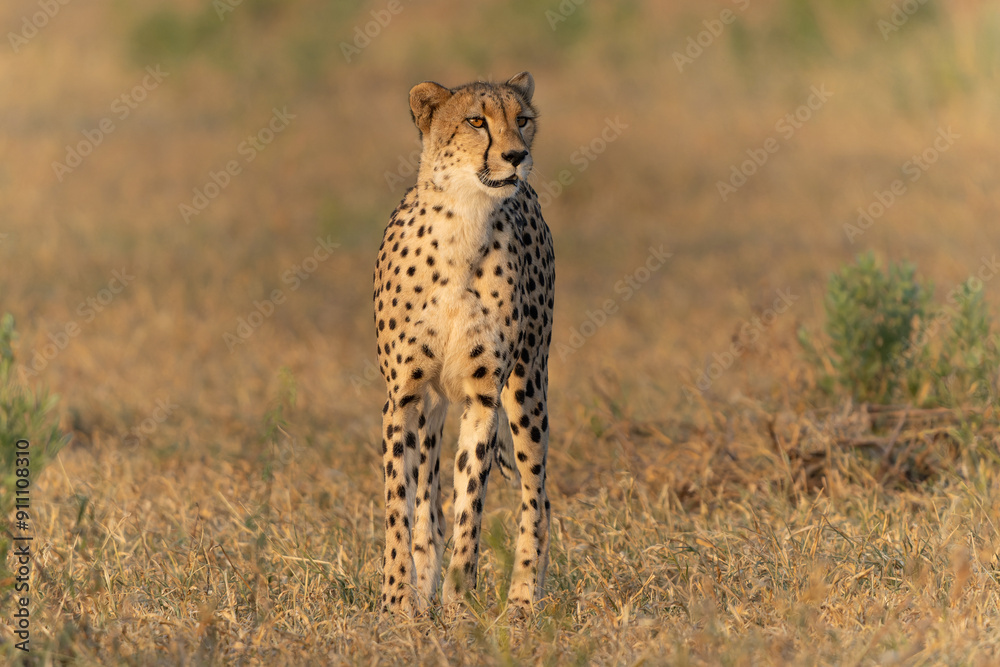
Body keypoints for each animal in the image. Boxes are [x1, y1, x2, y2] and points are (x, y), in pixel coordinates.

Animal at [373, 71, 555, 615]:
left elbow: (470, 502)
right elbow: (400, 506)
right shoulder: (404, 397)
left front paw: (458, 602)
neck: (463, 222)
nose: (517, 156)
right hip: (434, 407)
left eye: (523, 119)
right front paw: (397, 604)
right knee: (427, 510)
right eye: (476, 121)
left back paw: (522, 601)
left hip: (527, 388)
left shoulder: (484, 396)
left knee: (537, 495)